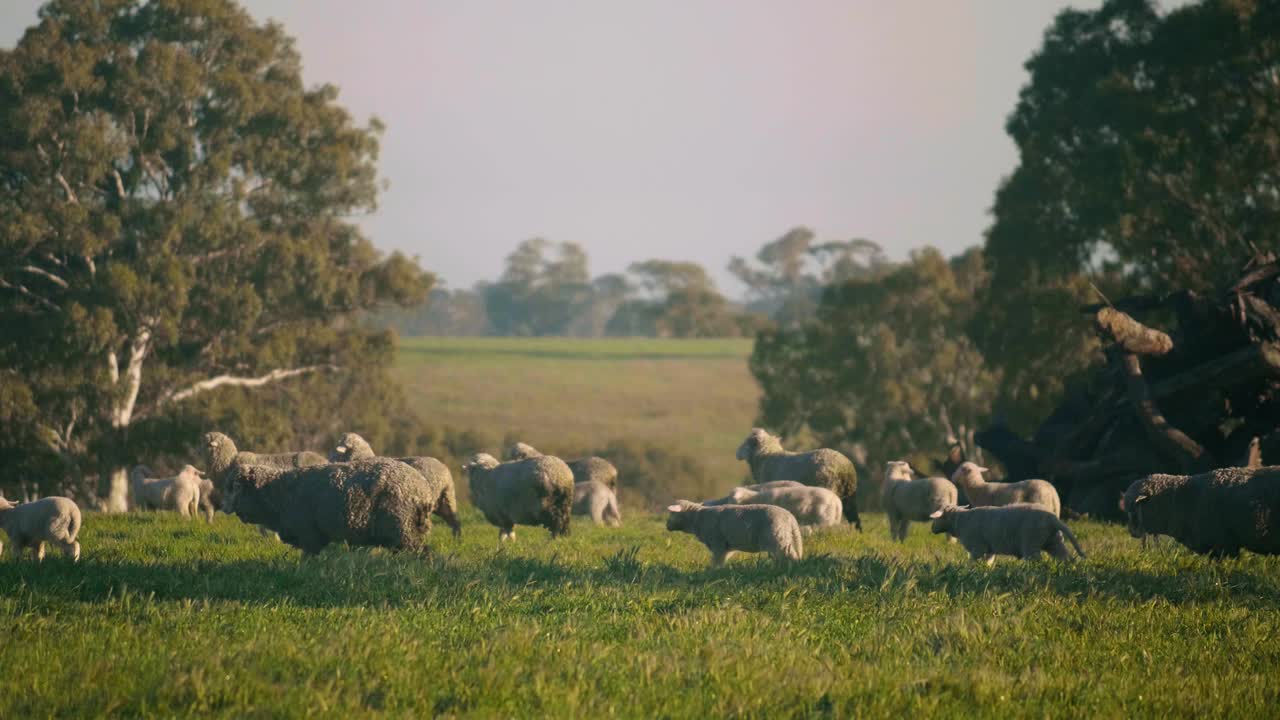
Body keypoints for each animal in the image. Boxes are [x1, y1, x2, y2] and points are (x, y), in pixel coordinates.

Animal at [330, 432, 462, 537]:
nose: (330, 461)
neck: (362, 457)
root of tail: (442, 465)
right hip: (441, 502)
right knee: (453, 520)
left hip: (445, 499)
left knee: (454, 521)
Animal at [665, 500, 803, 566]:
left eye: (671, 513)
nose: (667, 526)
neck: (697, 518)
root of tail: (790, 517)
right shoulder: (726, 546)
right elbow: (722, 559)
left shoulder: (718, 543)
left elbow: (717, 561)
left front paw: (713, 571)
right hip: (783, 537)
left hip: (778, 537)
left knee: (790, 555)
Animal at [929, 504, 1085, 564]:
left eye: (937, 517)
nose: (931, 529)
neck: (959, 521)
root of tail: (1052, 518)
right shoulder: (988, 549)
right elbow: (988, 562)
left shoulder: (977, 547)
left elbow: (972, 561)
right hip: (1053, 541)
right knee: (1065, 557)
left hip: (1031, 542)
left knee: (1036, 560)